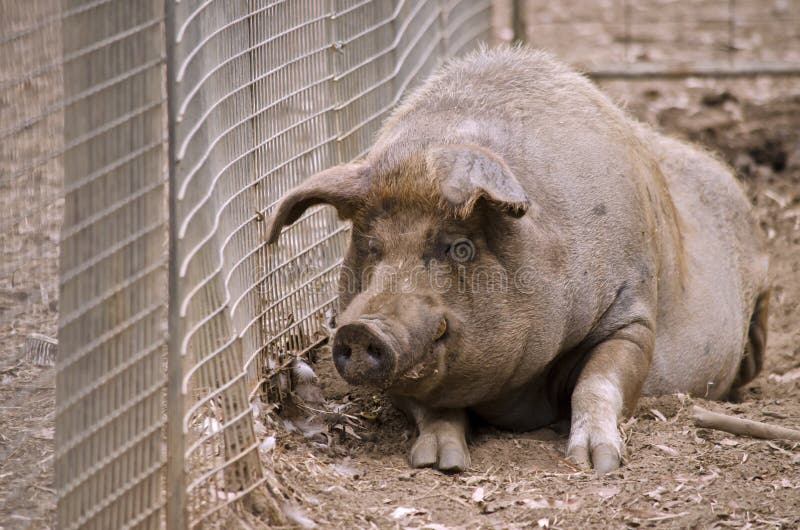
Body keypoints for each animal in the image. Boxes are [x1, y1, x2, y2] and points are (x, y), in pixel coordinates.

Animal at [265, 47, 770, 474]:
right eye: (371, 245)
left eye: (460, 247)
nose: (361, 329)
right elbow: (429, 401)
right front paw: (439, 462)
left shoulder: (632, 308)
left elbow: (599, 380)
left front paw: (596, 464)